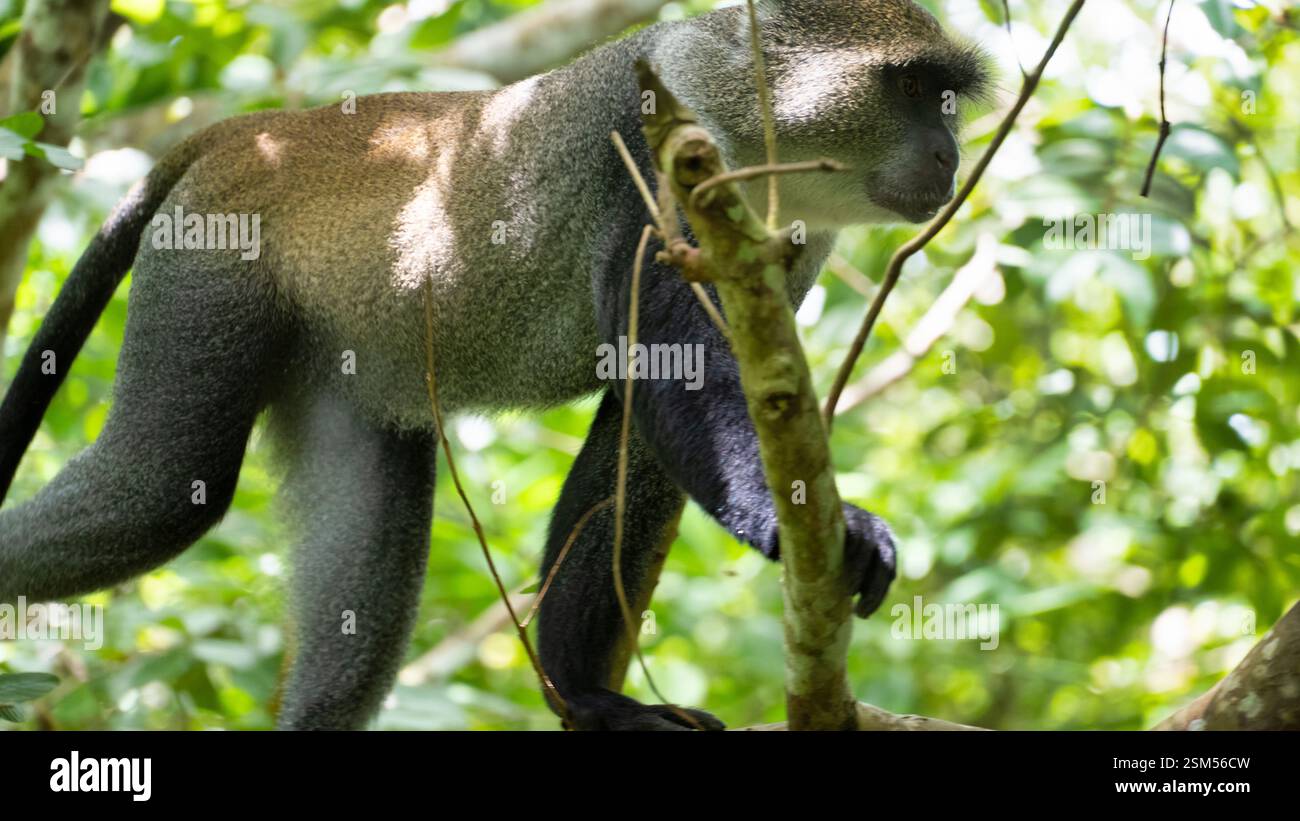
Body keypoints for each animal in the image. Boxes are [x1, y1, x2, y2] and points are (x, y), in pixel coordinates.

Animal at [0, 0, 989, 730]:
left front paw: (586, 696)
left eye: (945, 97)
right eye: (911, 85)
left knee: (361, 605)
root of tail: (251, 131)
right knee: (158, 492)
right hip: (210, 267)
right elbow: (670, 374)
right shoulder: (655, 162)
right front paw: (808, 526)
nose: (950, 152)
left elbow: (638, 430)